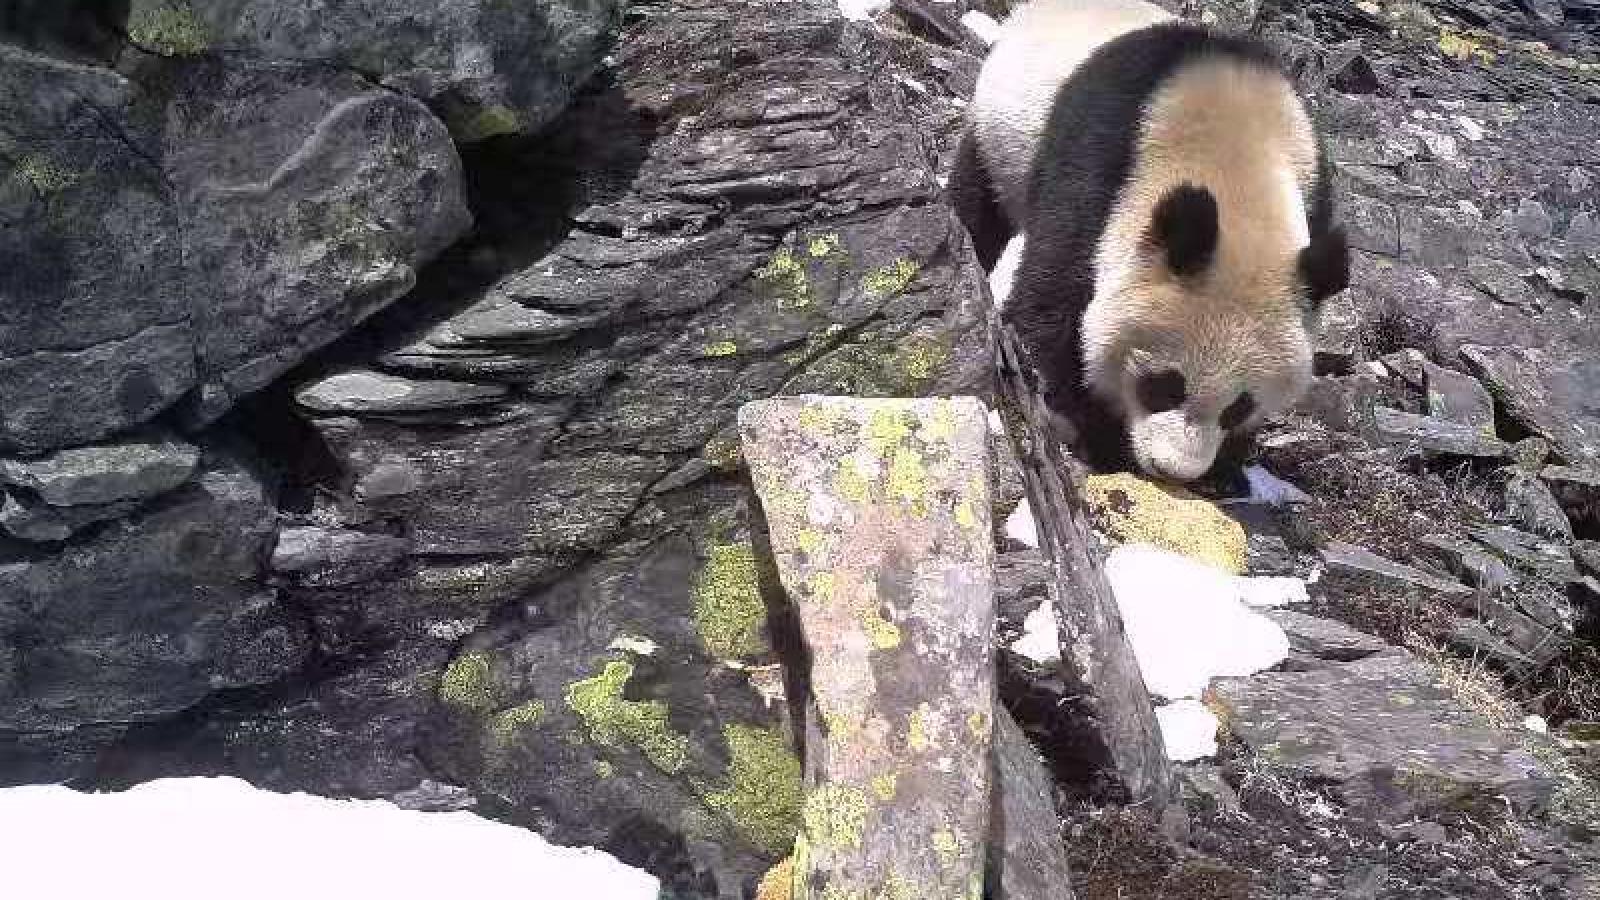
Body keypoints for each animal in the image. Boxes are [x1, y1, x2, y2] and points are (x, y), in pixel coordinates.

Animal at [950, 0, 1349, 483]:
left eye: (1238, 406)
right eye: (1164, 385)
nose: (1174, 470)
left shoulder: (1313, 195)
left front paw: (1227, 468)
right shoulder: (1102, 168)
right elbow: (1052, 300)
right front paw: (1094, 431)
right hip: (997, 134)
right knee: (977, 208)